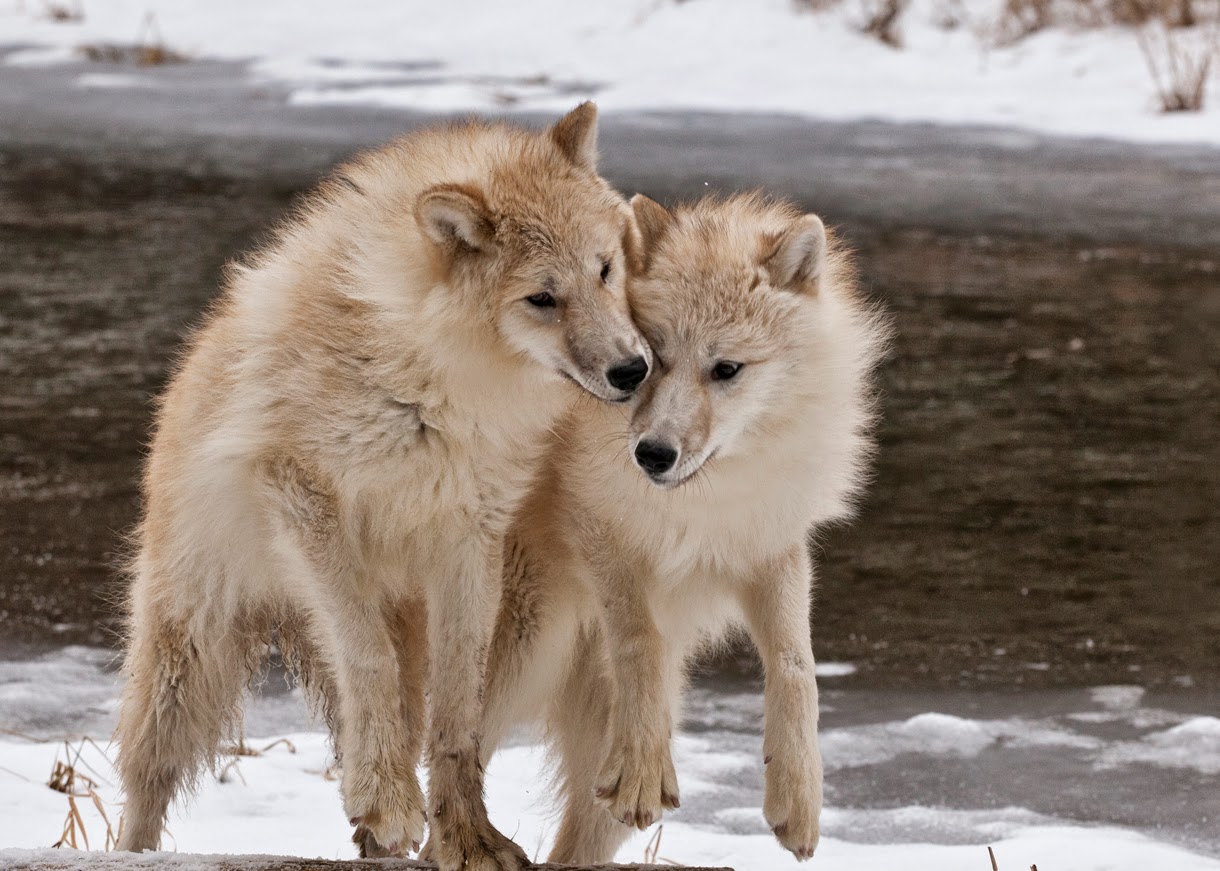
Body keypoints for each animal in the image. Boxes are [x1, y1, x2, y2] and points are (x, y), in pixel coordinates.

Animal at [112, 103, 650, 871]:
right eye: (543, 298)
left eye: (605, 269)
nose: (633, 370)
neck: (439, 382)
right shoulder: (305, 502)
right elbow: (368, 656)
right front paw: (391, 801)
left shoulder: (473, 540)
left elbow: (458, 718)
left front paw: (467, 836)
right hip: (185, 657)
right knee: (146, 783)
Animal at [475, 192, 889, 864]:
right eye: (654, 358)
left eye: (726, 368)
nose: (652, 455)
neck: (705, 501)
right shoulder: (599, 529)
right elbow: (638, 636)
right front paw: (645, 767)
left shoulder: (769, 546)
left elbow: (797, 668)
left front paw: (799, 799)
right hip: (519, 651)